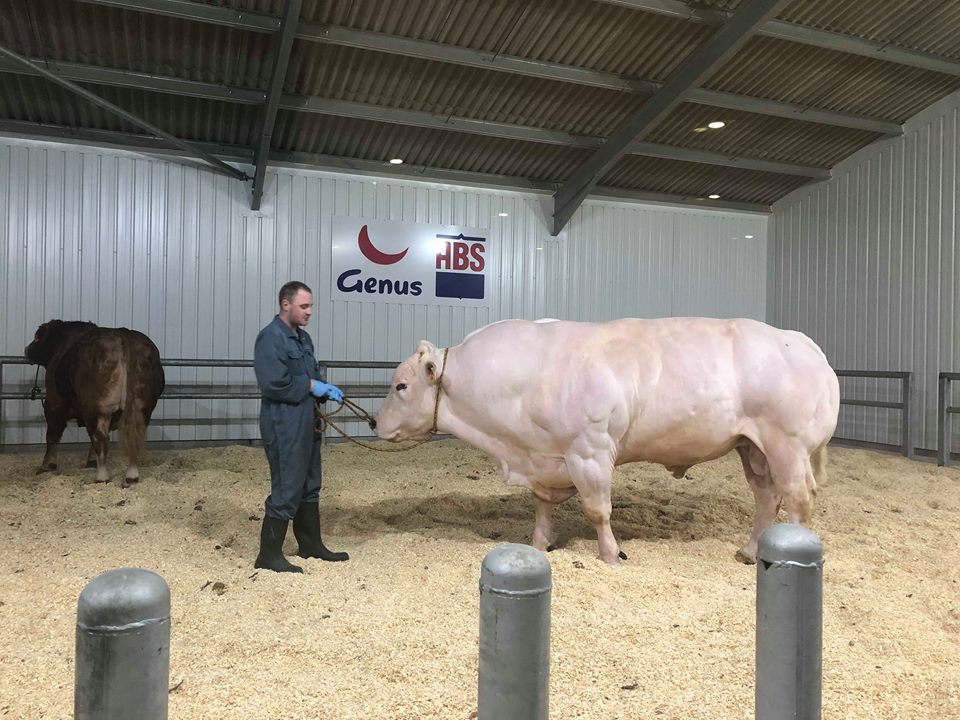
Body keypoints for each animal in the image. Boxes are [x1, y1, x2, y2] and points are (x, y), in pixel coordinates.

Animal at [25, 320, 166, 488]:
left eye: (36, 337)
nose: (27, 350)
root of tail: (123, 335)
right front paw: (91, 461)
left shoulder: (54, 402)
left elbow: (52, 435)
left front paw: (47, 465)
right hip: (142, 407)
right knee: (132, 437)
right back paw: (131, 476)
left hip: (98, 408)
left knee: (100, 438)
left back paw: (102, 476)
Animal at [373, 317, 840, 565]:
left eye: (400, 386)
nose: (376, 423)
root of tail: (804, 343)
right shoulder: (546, 458)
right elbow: (541, 506)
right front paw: (539, 542)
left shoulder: (590, 451)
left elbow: (598, 509)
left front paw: (611, 554)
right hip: (753, 447)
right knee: (767, 497)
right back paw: (750, 549)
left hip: (787, 444)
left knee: (798, 498)